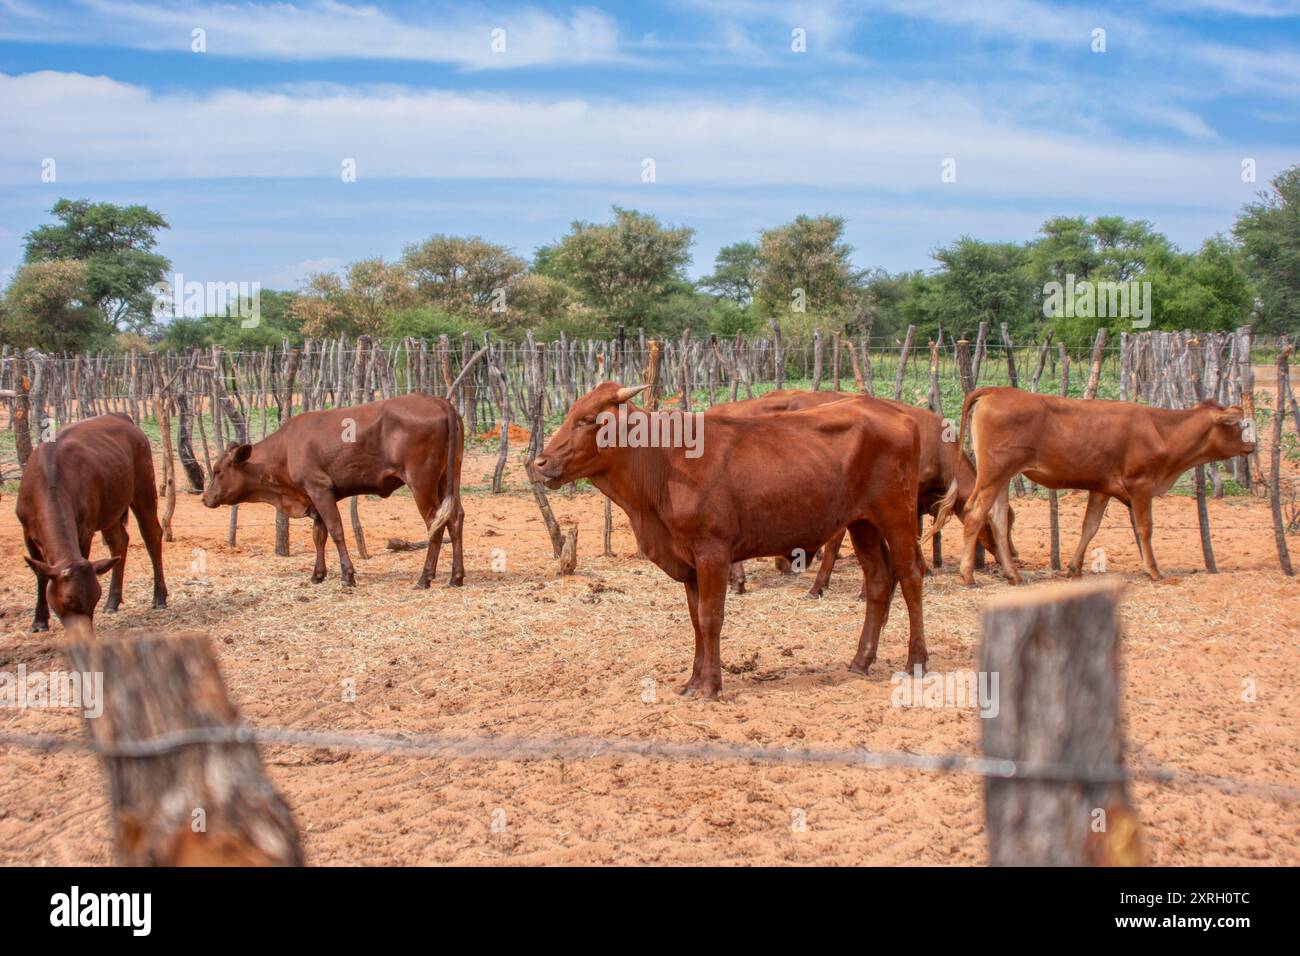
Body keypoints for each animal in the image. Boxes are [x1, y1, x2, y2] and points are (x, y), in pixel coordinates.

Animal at [17, 414, 168, 640]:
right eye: (68, 600)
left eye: (95, 597)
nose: (86, 635)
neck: (49, 478)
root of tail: (122, 417)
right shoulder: (27, 532)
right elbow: (41, 575)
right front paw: (39, 621)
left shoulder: (85, 529)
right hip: (111, 510)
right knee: (119, 543)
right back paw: (113, 601)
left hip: (144, 491)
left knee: (152, 535)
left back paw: (159, 597)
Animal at [201, 393, 464, 589]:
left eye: (217, 470)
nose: (205, 498)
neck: (285, 449)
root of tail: (439, 401)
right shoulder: (313, 498)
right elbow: (319, 536)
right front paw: (317, 574)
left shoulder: (320, 489)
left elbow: (336, 531)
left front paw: (347, 575)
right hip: (448, 478)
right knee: (454, 517)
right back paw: (456, 577)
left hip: (421, 482)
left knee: (435, 522)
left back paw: (424, 578)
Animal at [533, 382, 927, 699]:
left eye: (587, 419)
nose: (540, 462)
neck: (664, 463)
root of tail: (898, 413)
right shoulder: (688, 560)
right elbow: (695, 620)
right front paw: (692, 682)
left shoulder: (712, 552)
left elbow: (711, 618)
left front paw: (710, 686)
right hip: (863, 523)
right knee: (878, 580)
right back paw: (861, 660)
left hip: (897, 515)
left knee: (910, 577)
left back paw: (917, 660)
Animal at [927, 386, 1256, 585]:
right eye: (1238, 425)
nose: (1252, 446)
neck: (1159, 430)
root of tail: (996, 390)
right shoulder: (1141, 485)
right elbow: (1144, 528)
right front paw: (1153, 570)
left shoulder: (1101, 488)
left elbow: (1090, 526)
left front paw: (1074, 567)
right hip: (994, 474)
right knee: (974, 512)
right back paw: (968, 574)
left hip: (1003, 477)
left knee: (996, 518)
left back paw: (1013, 574)